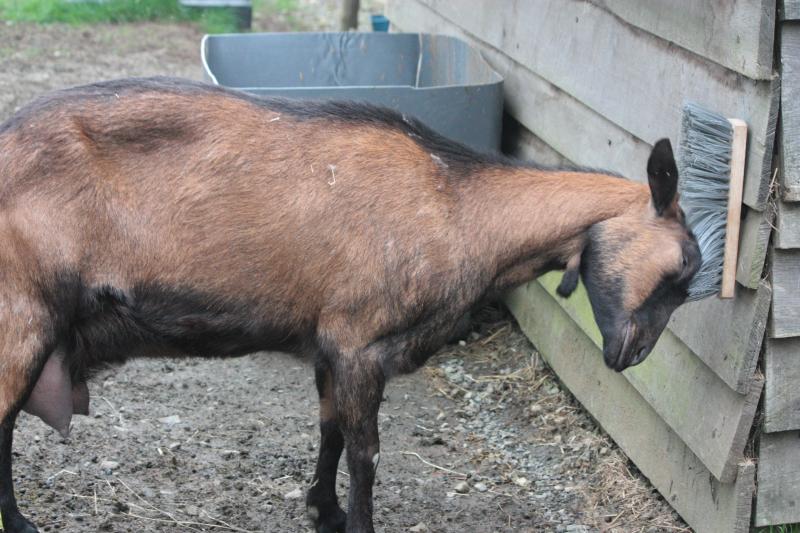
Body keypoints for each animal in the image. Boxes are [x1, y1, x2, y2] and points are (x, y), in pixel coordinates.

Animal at [0, 77, 700, 533]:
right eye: (681, 269)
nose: (633, 354)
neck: (458, 206)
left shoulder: (328, 342)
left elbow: (331, 429)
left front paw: (324, 509)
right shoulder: (361, 341)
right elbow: (367, 453)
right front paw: (355, 521)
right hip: (21, 315)